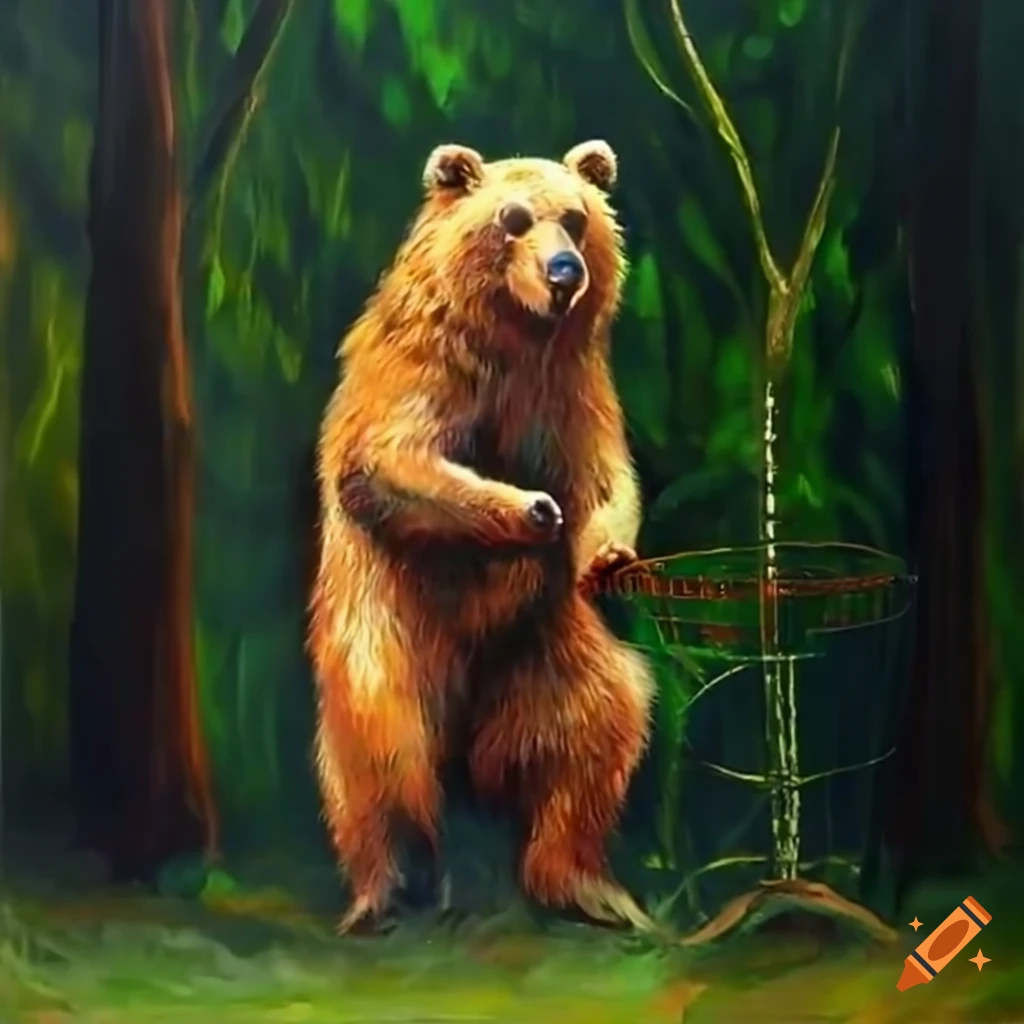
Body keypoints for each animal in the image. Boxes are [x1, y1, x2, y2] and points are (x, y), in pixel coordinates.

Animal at [308, 139, 656, 936]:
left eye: (576, 217)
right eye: (514, 218)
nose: (564, 273)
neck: (512, 332)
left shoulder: (569, 388)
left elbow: (604, 478)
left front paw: (606, 552)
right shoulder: (428, 371)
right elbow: (389, 462)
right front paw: (532, 509)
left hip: (544, 653)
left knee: (597, 731)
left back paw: (589, 887)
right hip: (386, 633)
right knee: (382, 754)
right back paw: (386, 888)